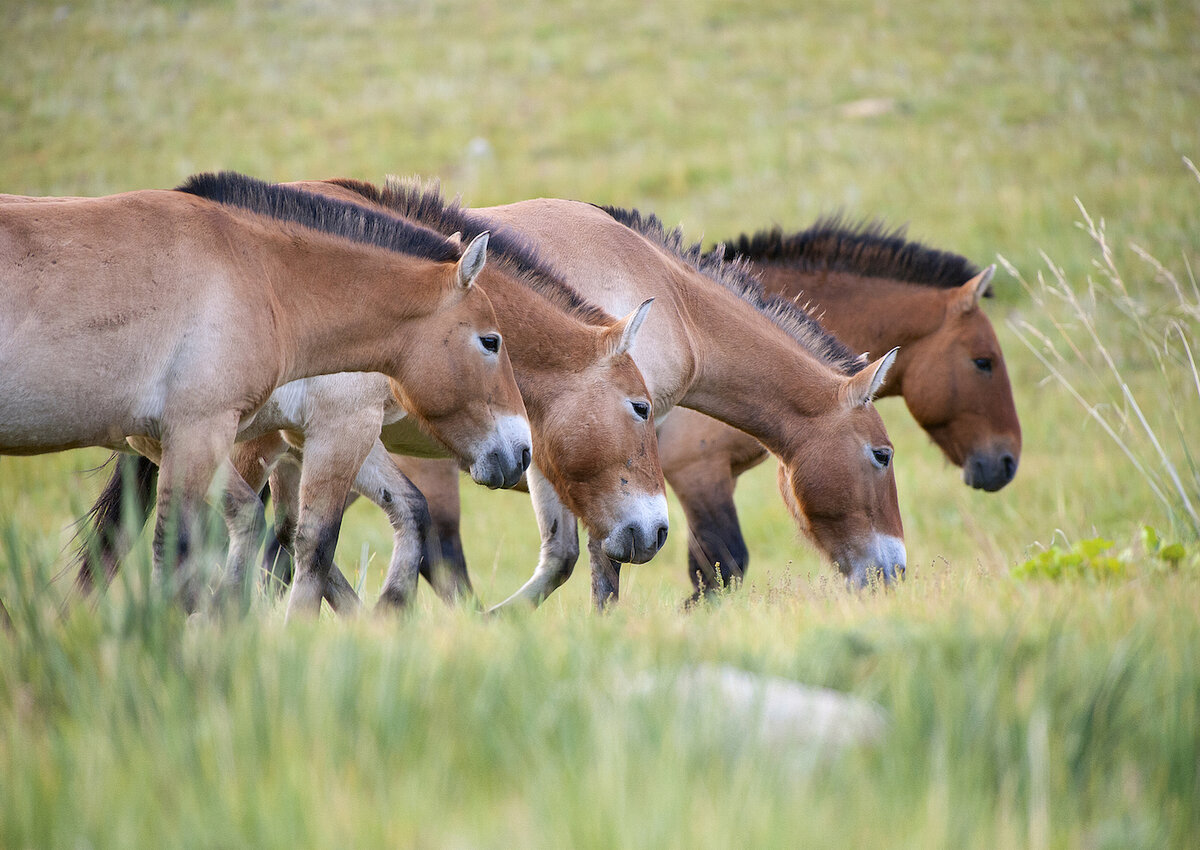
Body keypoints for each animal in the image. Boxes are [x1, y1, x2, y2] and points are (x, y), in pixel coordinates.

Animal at [3, 172, 530, 607]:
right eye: (491, 341)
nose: (521, 450)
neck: (254, 272)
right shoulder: (208, 431)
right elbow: (212, 550)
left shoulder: (190, 439)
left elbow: (258, 529)